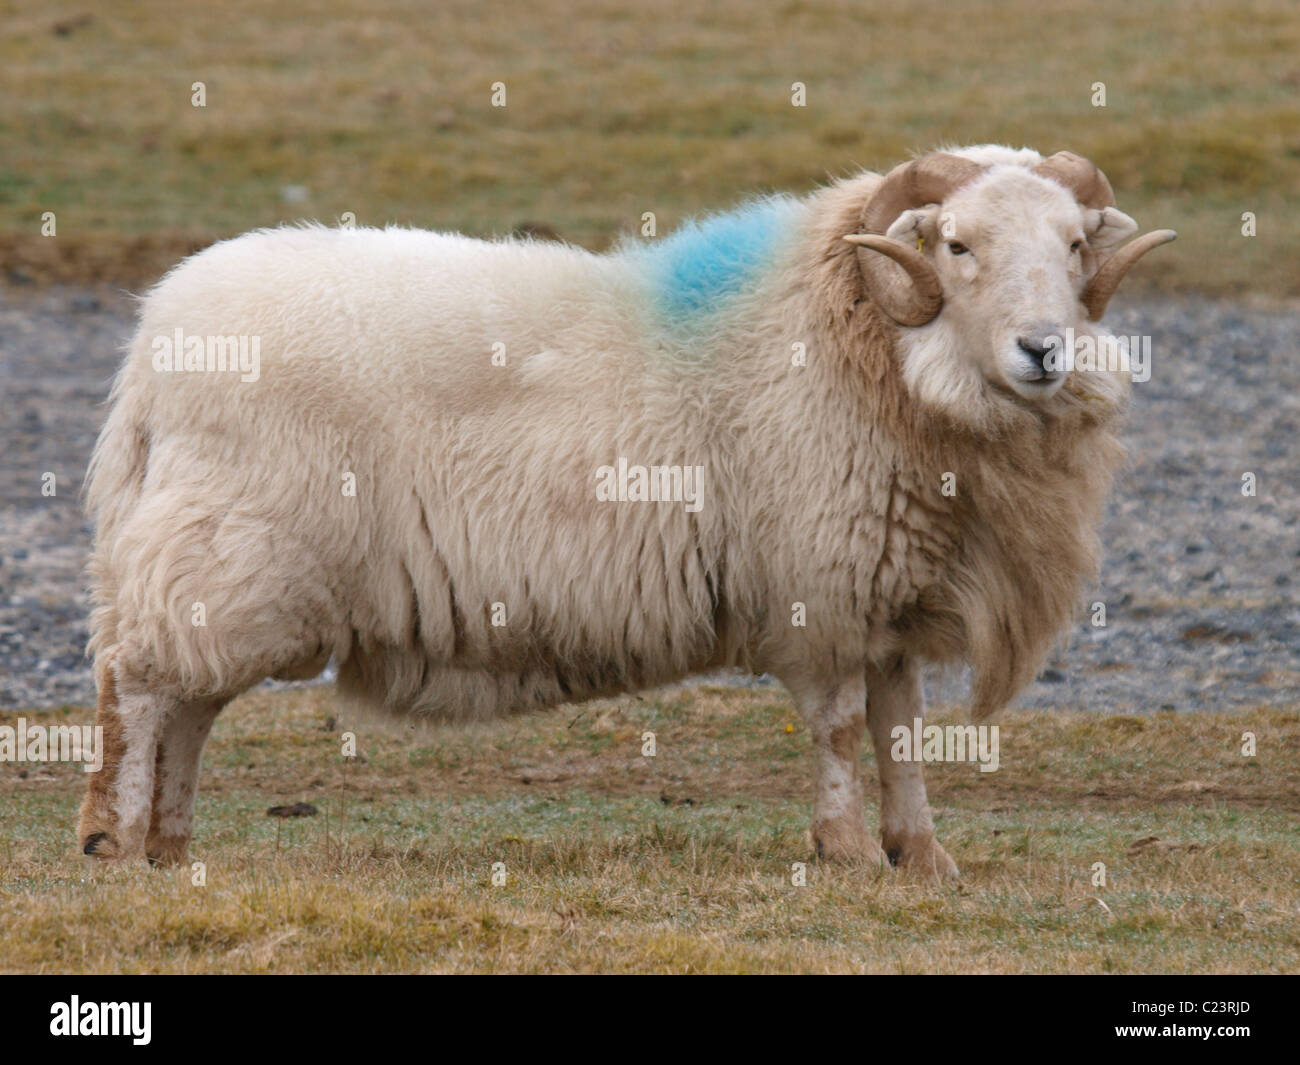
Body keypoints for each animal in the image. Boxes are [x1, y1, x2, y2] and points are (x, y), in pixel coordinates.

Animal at [80, 145, 1175, 873]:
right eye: (955, 244)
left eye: (1074, 244)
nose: (1044, 349)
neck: (857, 337)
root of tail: (153, 342)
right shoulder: (814, 588)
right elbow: (834, 729)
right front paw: (850, 851)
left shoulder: (882, 597)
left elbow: (899, 729)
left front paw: (923, 858)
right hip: (232, 556)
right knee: (139, 684)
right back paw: (118, 839)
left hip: (222, 570)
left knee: (188, 705)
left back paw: (171, 844)